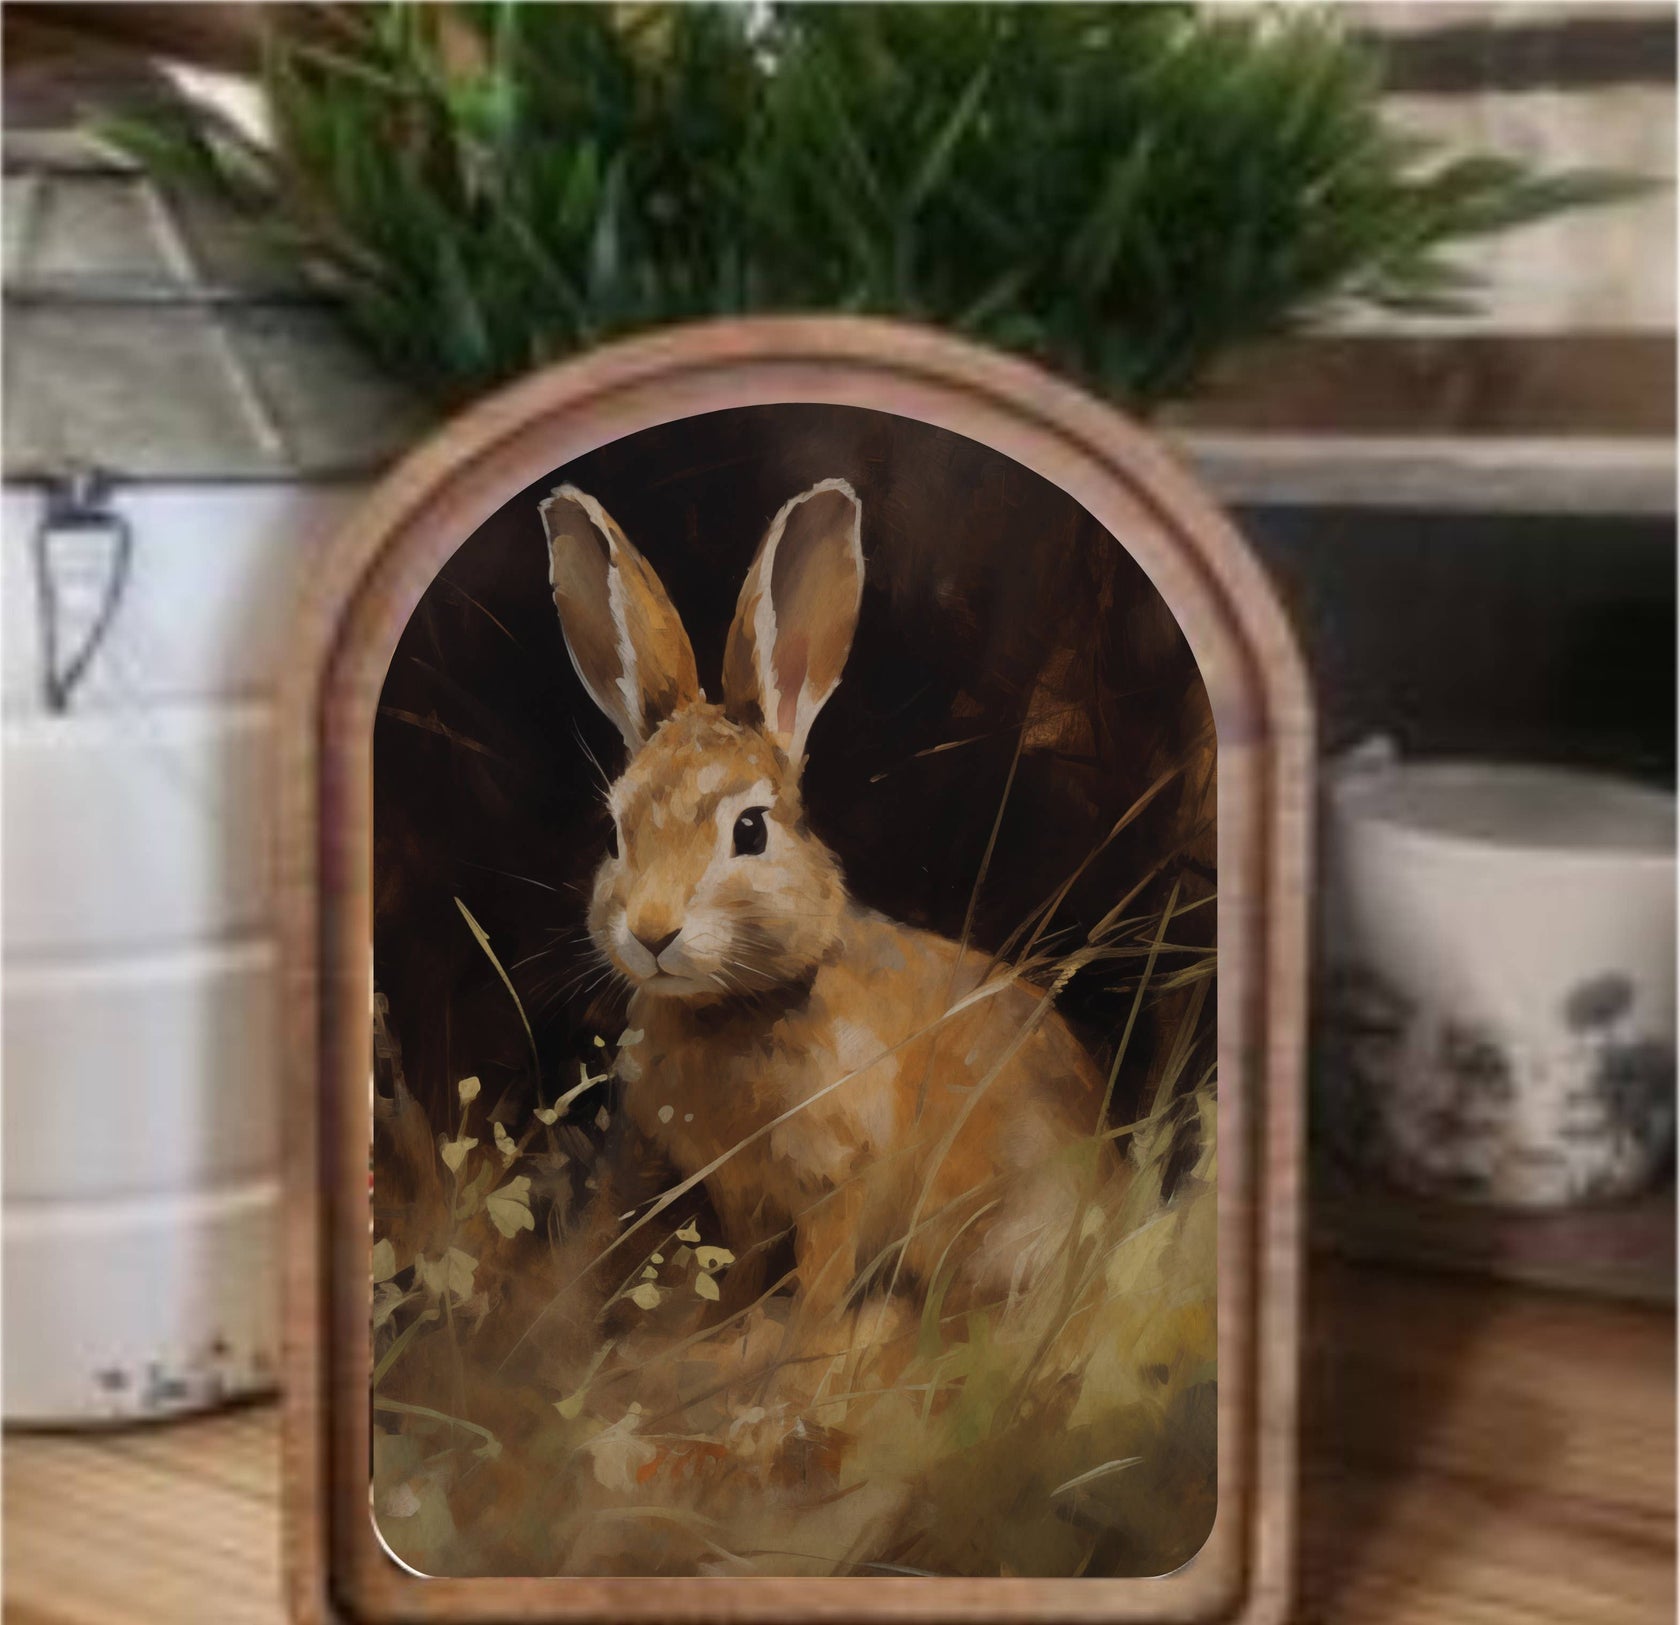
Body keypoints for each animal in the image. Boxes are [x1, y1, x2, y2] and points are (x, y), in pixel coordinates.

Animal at [540, 476, 1120, 1336]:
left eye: (750, 829)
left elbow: (820, 1282)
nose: (651, 932)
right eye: (616, 830)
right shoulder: (740, 1202)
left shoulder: (834, 1189)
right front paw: (718, 1329)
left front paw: (794, 1349)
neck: (736, 1008)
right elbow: (743, 1271)